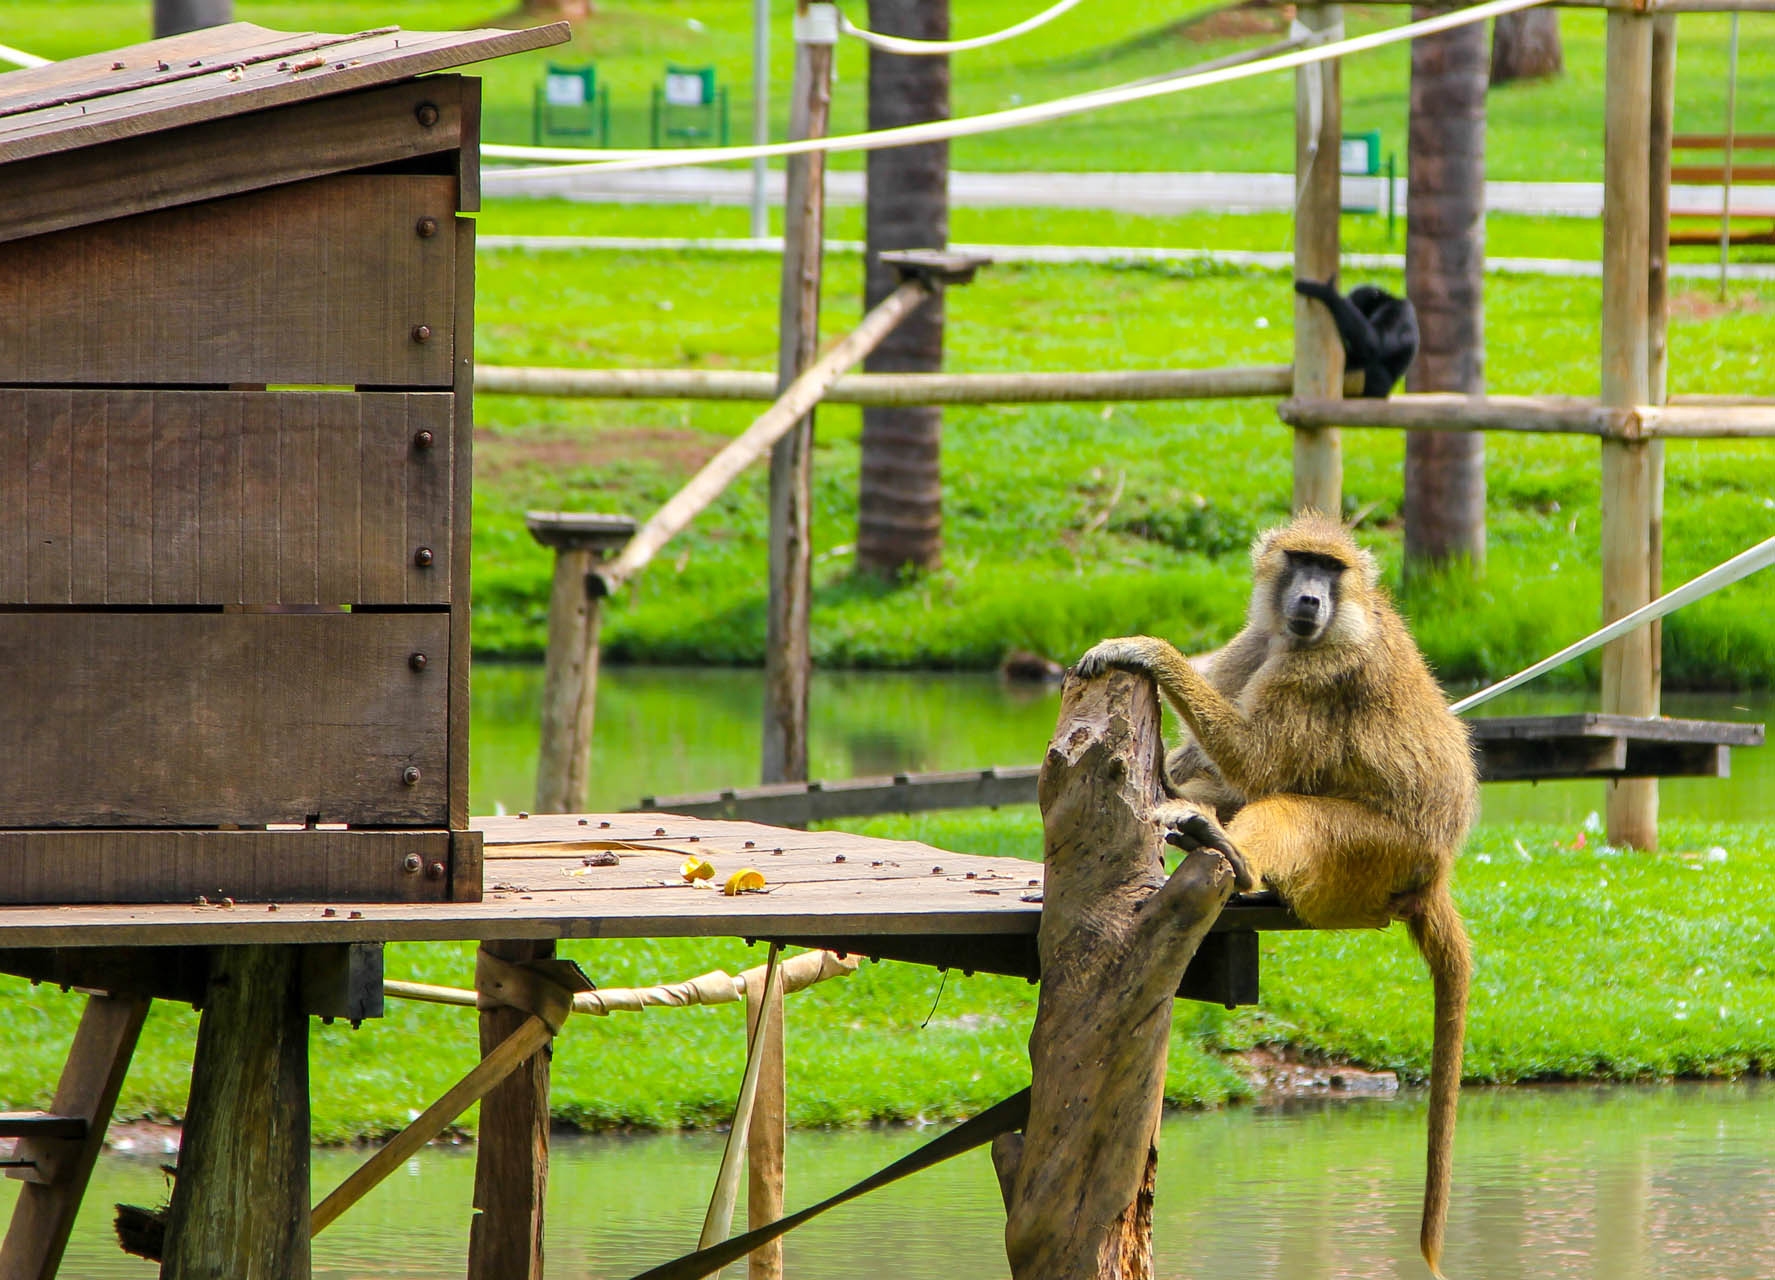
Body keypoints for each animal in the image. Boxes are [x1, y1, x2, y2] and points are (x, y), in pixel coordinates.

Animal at [1073, 510, 1476, 1279]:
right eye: (1301, 562)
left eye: (1332, 568)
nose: (1310, 599)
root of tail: (1433, 871)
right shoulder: (1261, 640)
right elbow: (1230, 757)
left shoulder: (1323, 670)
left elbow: (1260, 762)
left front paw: (1147, 651)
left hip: (1375, 857)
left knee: (1286, 806)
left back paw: (1231, 853)